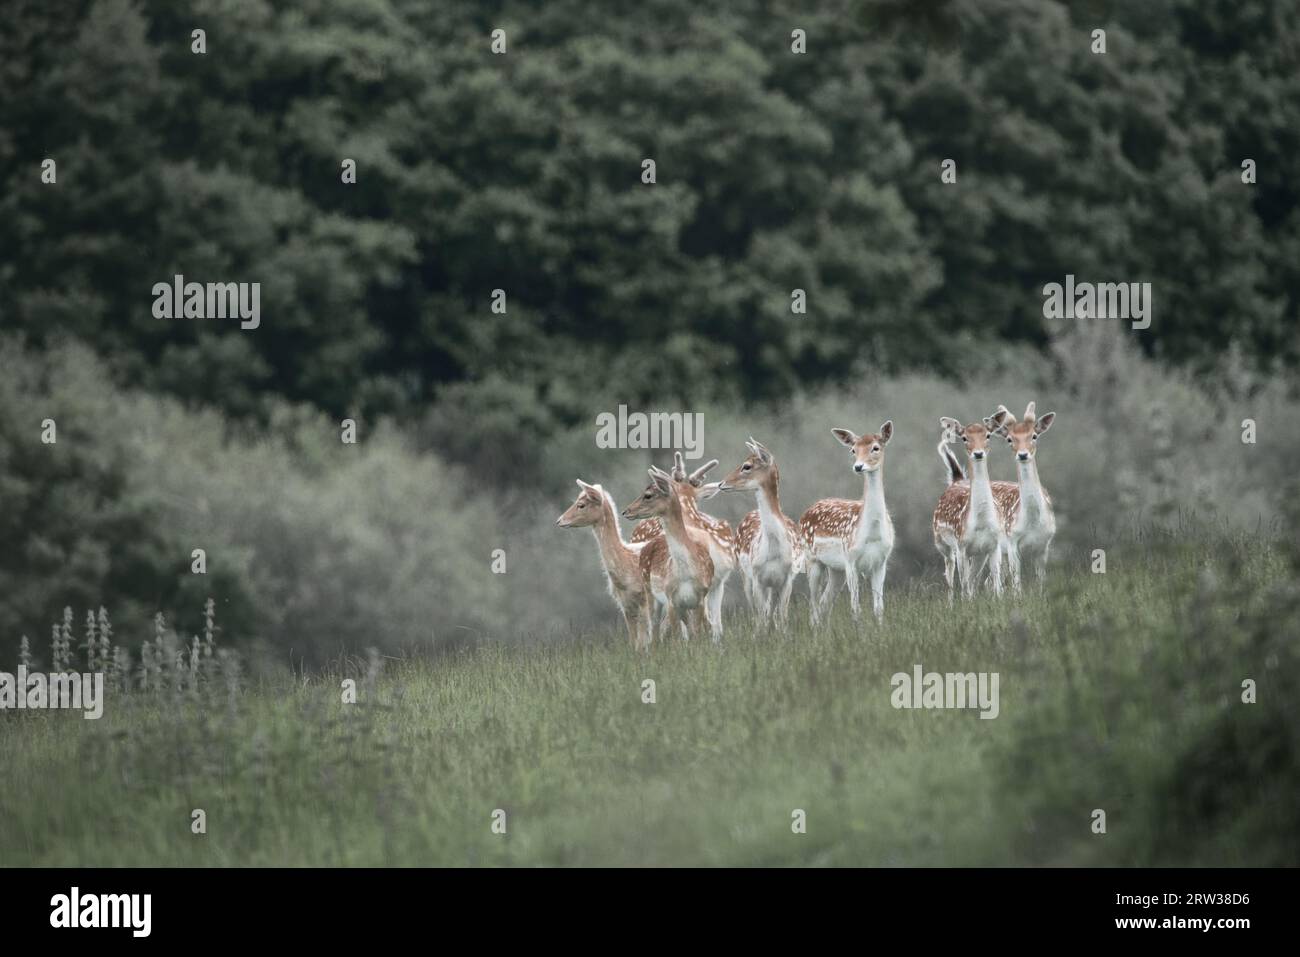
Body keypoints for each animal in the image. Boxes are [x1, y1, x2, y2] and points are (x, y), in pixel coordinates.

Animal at [556, 480, 653, 650]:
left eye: (581, 505)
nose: (559, 520)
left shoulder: (644, 600)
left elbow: (644, 643)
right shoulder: (625, 604)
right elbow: (634, 643)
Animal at [718, 438, 805, 628]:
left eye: (747, 466)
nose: (721, 484)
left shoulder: (788, 578)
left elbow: (782, 617)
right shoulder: (757, 577)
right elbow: (761, 619)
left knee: (772, 612)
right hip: (745, 576)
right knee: (758, 613)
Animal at [799, 421, 895, 626]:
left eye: (875, 447)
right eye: (853, 450)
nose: (858, 466)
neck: (872, 534)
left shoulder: (881, 561)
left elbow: (879, 608)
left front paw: (880, 629)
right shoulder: (851, 559)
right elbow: (855, 608)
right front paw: (858, 630)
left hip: (836, 569)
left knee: (824, 603)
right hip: (812, 559)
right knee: (813, 607)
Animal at [932, 415, 1009, 601]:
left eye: (988, 435)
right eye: (964, 437)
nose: (978, 453)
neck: (981, 522)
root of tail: (957, 479)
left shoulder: (993, 546)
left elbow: (996, 585)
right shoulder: (962, 546)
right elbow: (964, 584)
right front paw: (966, 605)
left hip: (979, 554)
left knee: (973, 578)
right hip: (942, 544)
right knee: (950, 577)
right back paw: (951, 603)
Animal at [987, 402, 1057, 592]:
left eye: (1034, 436)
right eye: (1009, 439)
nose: (1023, 454)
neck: (1032, 522)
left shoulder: (1044, 545)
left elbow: (1041, 582)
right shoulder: (1012, 542)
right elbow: (1017, 585)